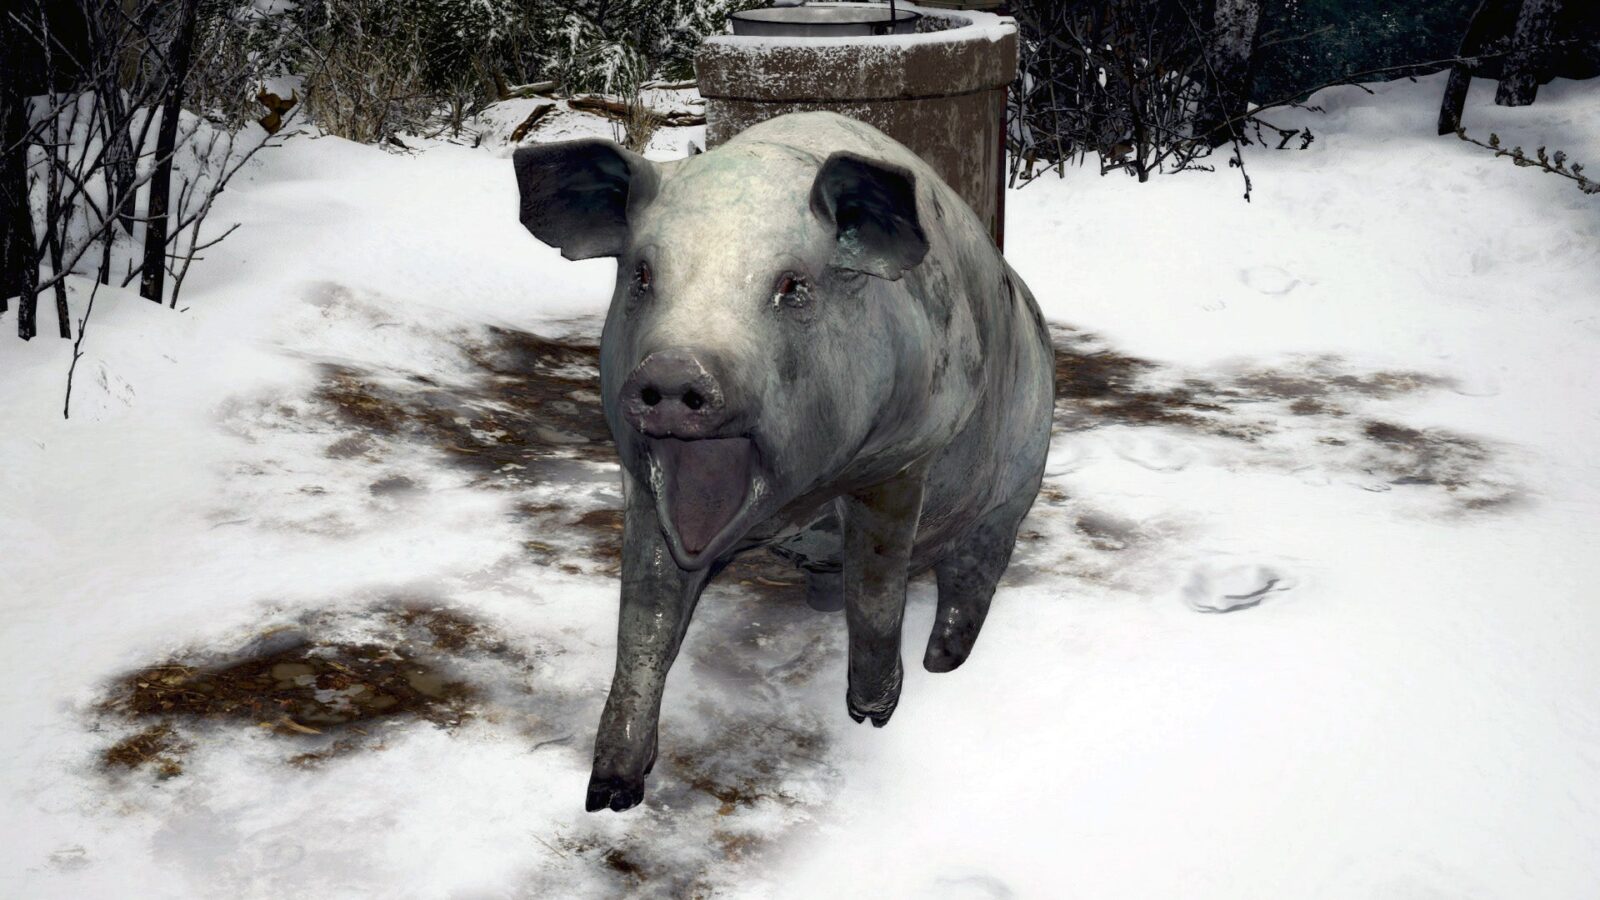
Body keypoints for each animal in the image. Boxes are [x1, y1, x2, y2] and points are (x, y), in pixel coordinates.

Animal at [513, 111, 1055, 812]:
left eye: (792, 285)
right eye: (640, 275)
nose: (675, 369)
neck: (803, 504)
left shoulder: (904, 455)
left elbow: (875, 588)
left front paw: (871, 716)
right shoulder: (645, 488)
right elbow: (644, 621)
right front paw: (609, 796)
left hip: (1017, 489)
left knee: (971, 580)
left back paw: (942, 667)